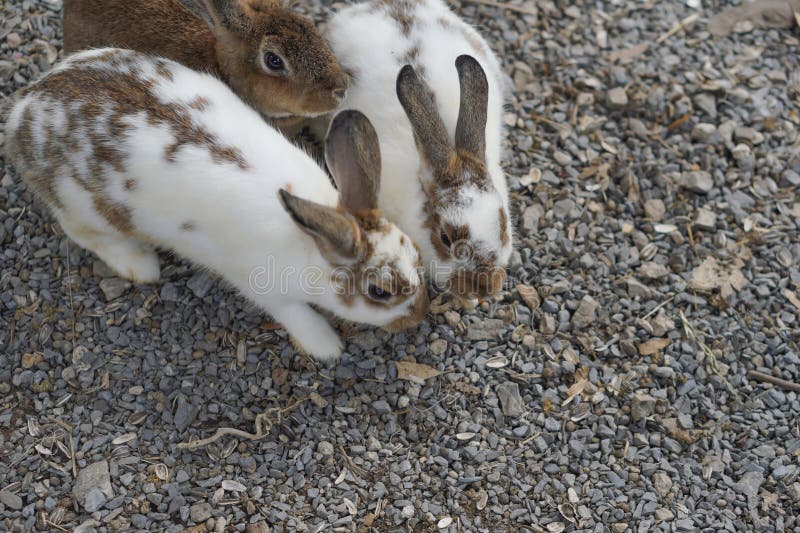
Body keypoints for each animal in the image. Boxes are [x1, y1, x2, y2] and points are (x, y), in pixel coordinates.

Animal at [4, 48, 429, 361]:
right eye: (378, 292)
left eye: (415, 253)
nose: (418, 317)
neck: (312, 242)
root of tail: (23, 110)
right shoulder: (261, 287)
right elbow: (295, 314)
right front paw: (326, 346)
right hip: (85, 207)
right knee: (79, 231)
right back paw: (139, 264)